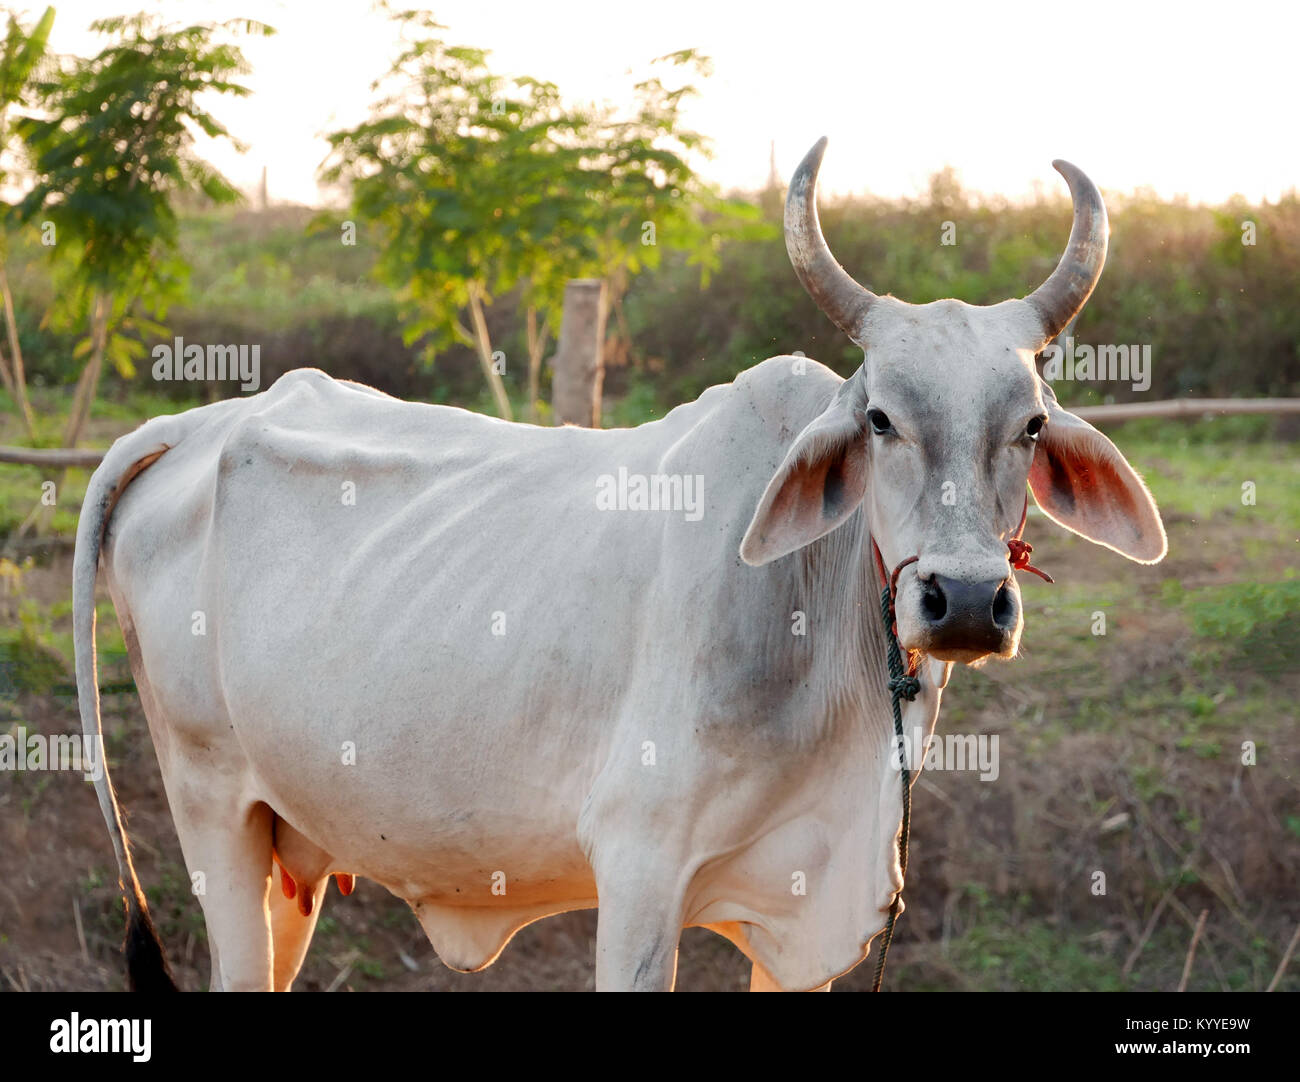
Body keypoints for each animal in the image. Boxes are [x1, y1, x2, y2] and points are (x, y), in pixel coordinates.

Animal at [74, 138, 1165, 992]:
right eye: (881, 419)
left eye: (1030, 424)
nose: (966, 600)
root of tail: (189, 427)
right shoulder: (640, 873)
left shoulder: (803, 913)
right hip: (214, 810)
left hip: (289, 851)